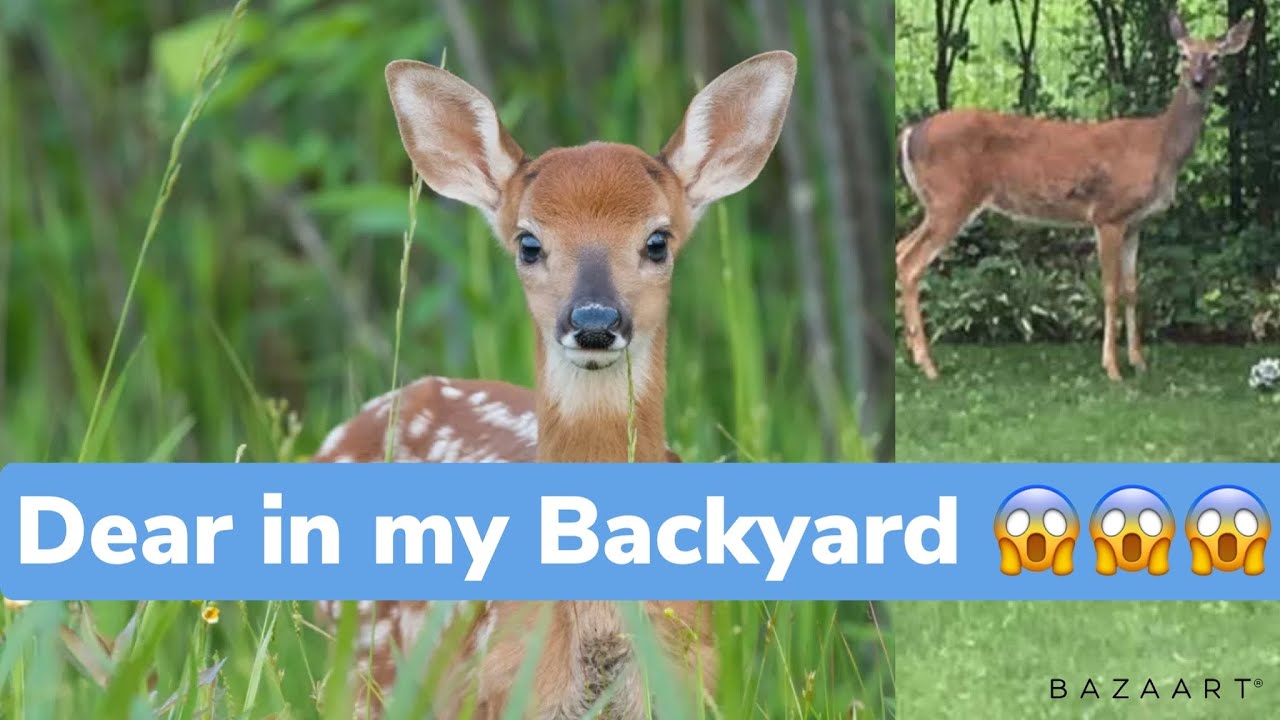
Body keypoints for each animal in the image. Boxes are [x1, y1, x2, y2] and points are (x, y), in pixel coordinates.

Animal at [896, 10, 1254, 381]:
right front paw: (1112, 367)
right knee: (911, 262)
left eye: (1215, 57)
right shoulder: (1108, 214)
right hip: (952, 198)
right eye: (1183, 54)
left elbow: (1132, 290)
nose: (1197, 81)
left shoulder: (1136, 223)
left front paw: (1139, 361)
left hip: (937, 203)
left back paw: (913, 353)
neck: (1159, 148)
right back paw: (928, 364)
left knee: (900, 249)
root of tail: (910, 133)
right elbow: (1109, 290)